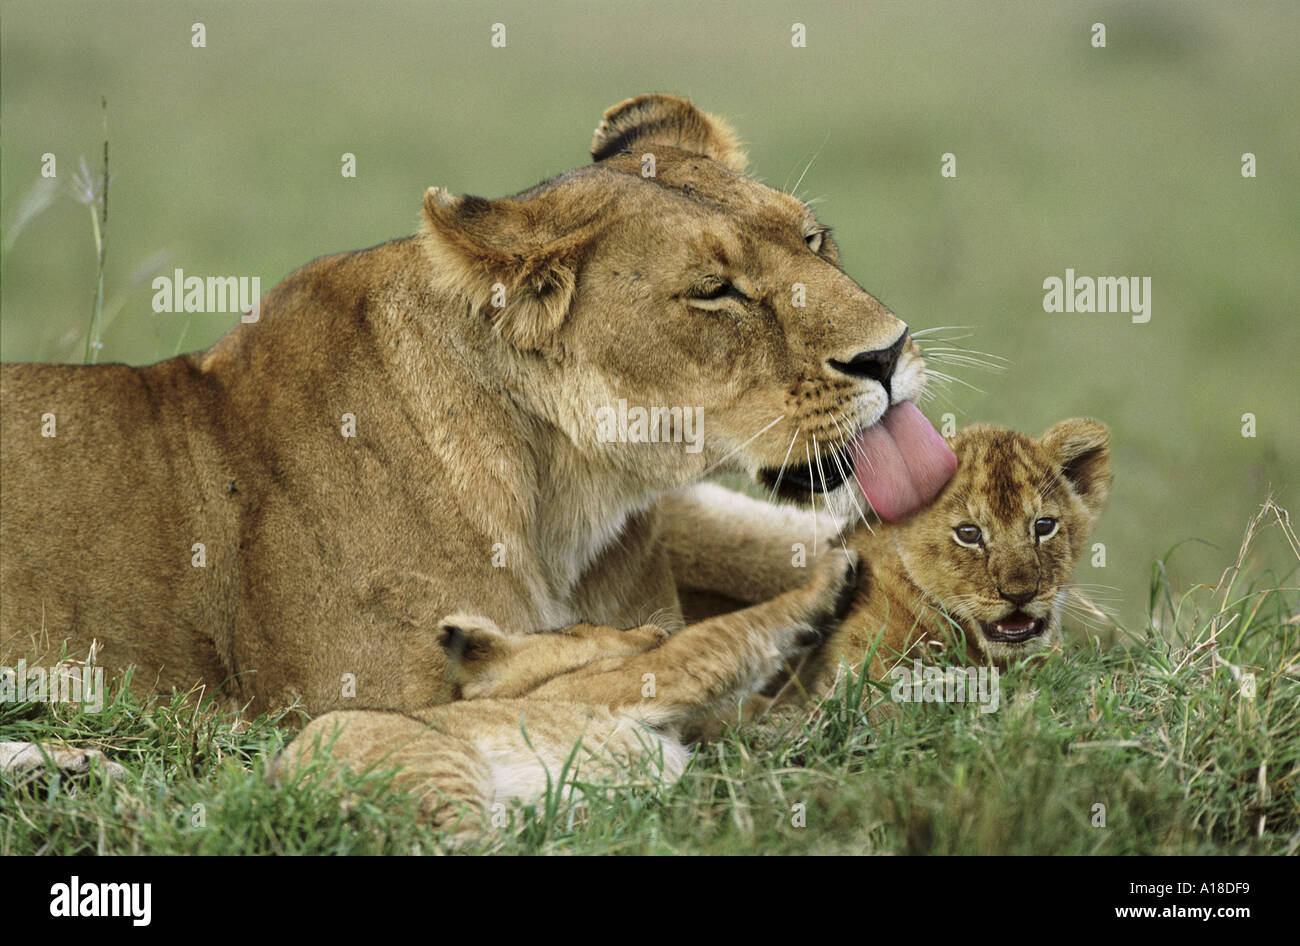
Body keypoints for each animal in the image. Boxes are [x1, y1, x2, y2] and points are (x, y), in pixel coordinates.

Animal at [0, 93, 951, 730]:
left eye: (812, 239)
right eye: (714, 292)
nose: (888, 353)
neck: (568, 494)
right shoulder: (354, 701)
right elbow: (626, 665)